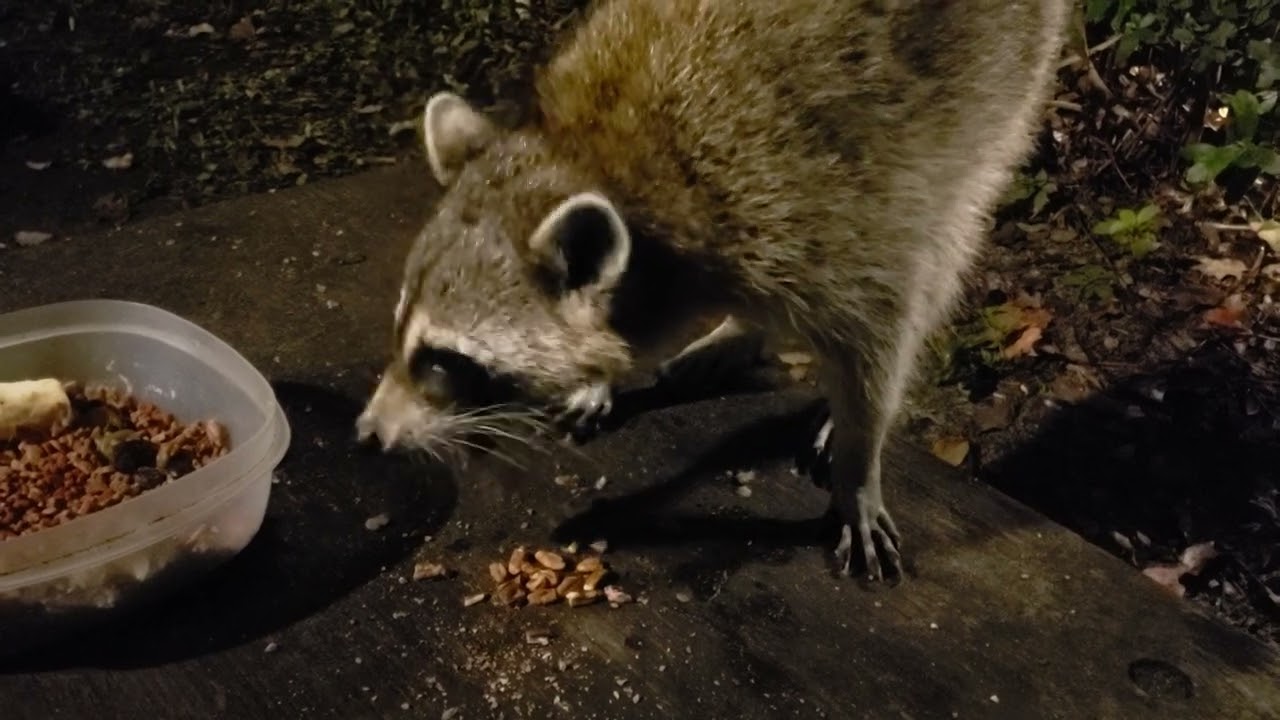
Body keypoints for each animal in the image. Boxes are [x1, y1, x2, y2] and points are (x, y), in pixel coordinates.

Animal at [356, 0, 1071, 582]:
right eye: (399, 331)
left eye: (445, 361)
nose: (368, 435)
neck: (599, 156)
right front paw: (597, 377)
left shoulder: (819, 214)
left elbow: (880, 331)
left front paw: (858, 465)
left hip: (1000, 88)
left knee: (949, 228)